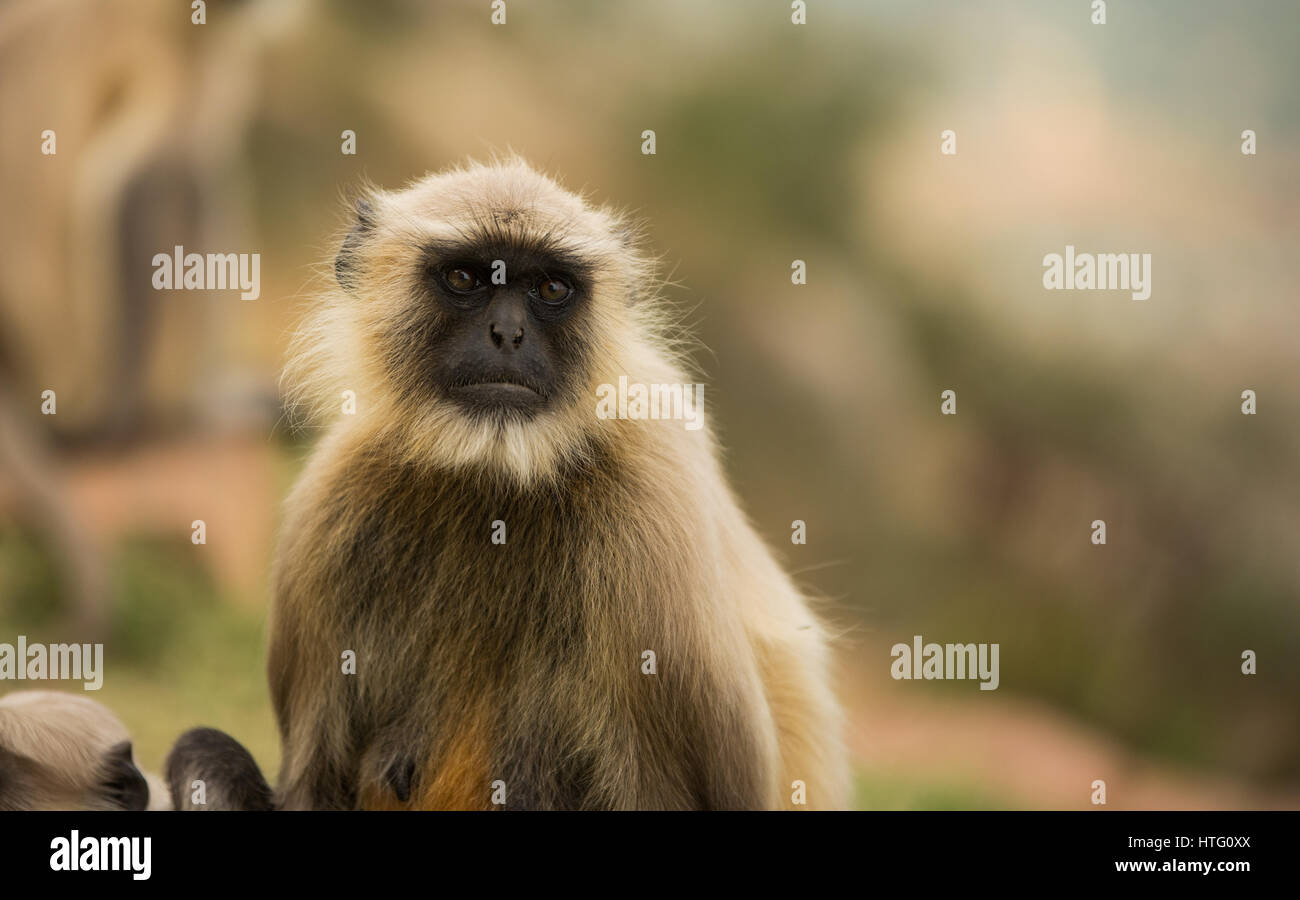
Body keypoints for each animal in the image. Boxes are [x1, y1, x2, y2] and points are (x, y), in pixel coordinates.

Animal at [179, 157, 849, 810]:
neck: (496, 477)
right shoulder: (333, 503)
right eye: (465, 278)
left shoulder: (655, 497)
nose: (507, 335)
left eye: (550, 287)